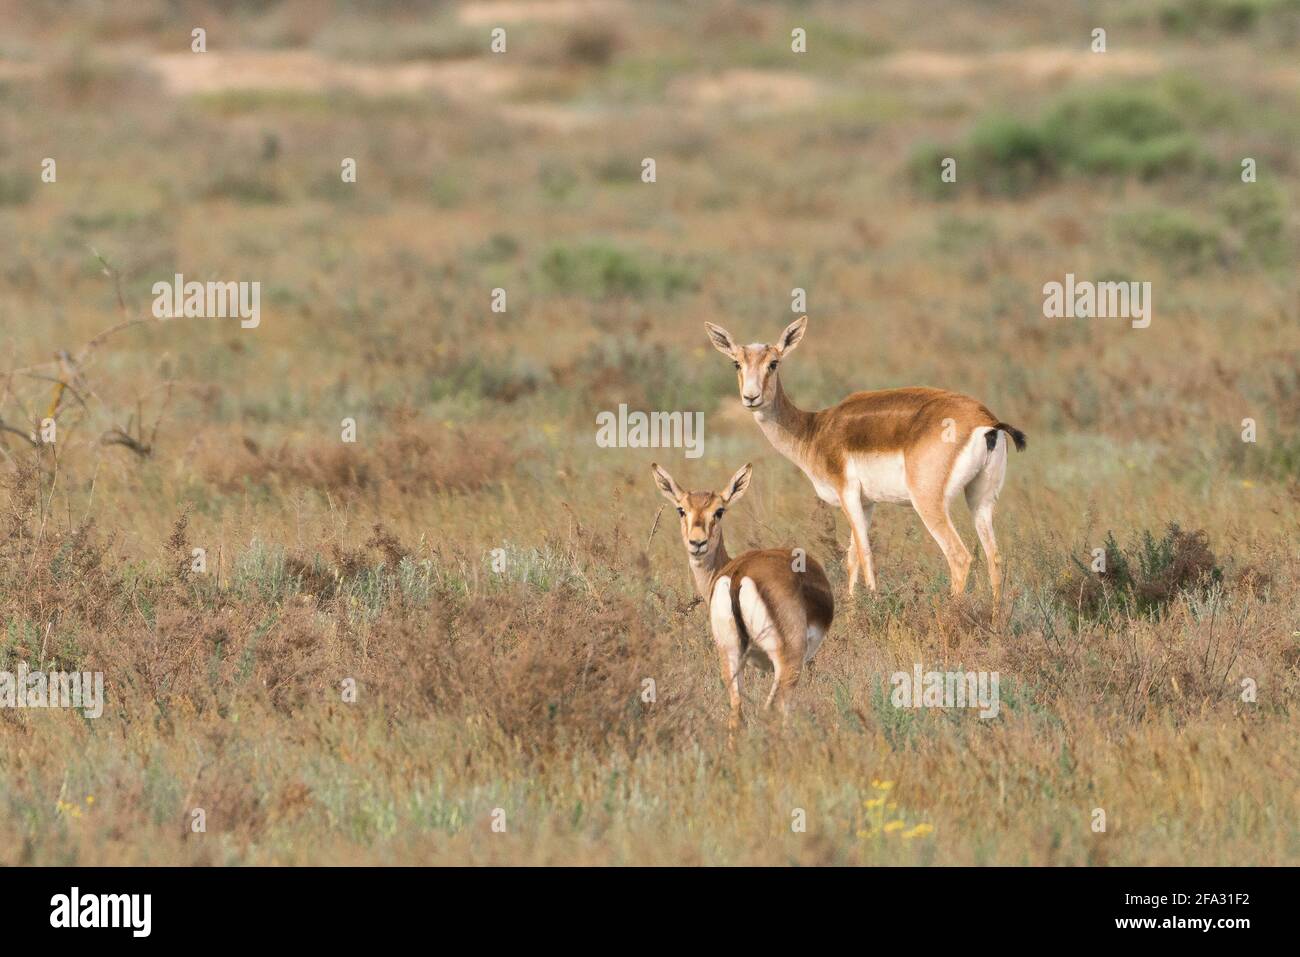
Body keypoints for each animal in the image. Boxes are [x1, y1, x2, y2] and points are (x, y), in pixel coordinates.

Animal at [651, 462, 833, 732]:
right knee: (774, 710)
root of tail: (738, 575)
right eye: (681, 509)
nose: (697, 543)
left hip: (730, 655)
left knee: (736, 711)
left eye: (719, 511)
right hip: (787, 663)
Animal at [704, 316, 1026, 603]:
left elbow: (864, 553)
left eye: (773, 362)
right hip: (980, 500)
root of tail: (986, 422)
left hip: (929, 503)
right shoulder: (867, 502)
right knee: (994, 557)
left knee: (959, 556)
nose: (751, 397)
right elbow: (851, 559)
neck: (814, 430)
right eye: (737, 363)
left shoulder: (848, 495)